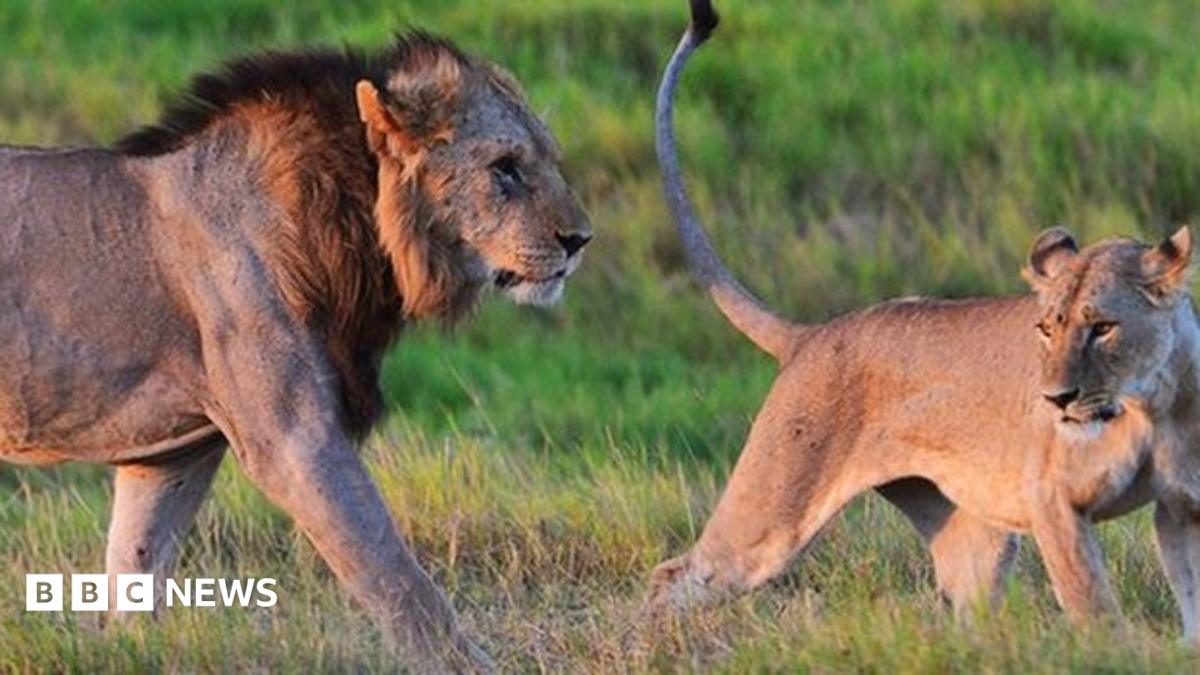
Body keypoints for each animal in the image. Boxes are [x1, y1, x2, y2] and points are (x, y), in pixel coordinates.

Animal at [0, 32, 591, 671]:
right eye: (505, 168)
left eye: (550, 160)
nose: (580, 240)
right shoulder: (295, 441)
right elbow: (395, 576)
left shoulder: (169, 457)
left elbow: (136, 571)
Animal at [648, 0, 1200, 643]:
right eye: (1047, 328)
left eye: (1102, 327)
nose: (1056, 399)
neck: (1149, 405)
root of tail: (810, 335)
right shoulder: (1053, 501)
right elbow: (1093, 607)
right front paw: (1107, 652)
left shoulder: (1182, 506)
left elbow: (1189, 603)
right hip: (769, 516)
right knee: (673, 576)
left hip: (974, 536)